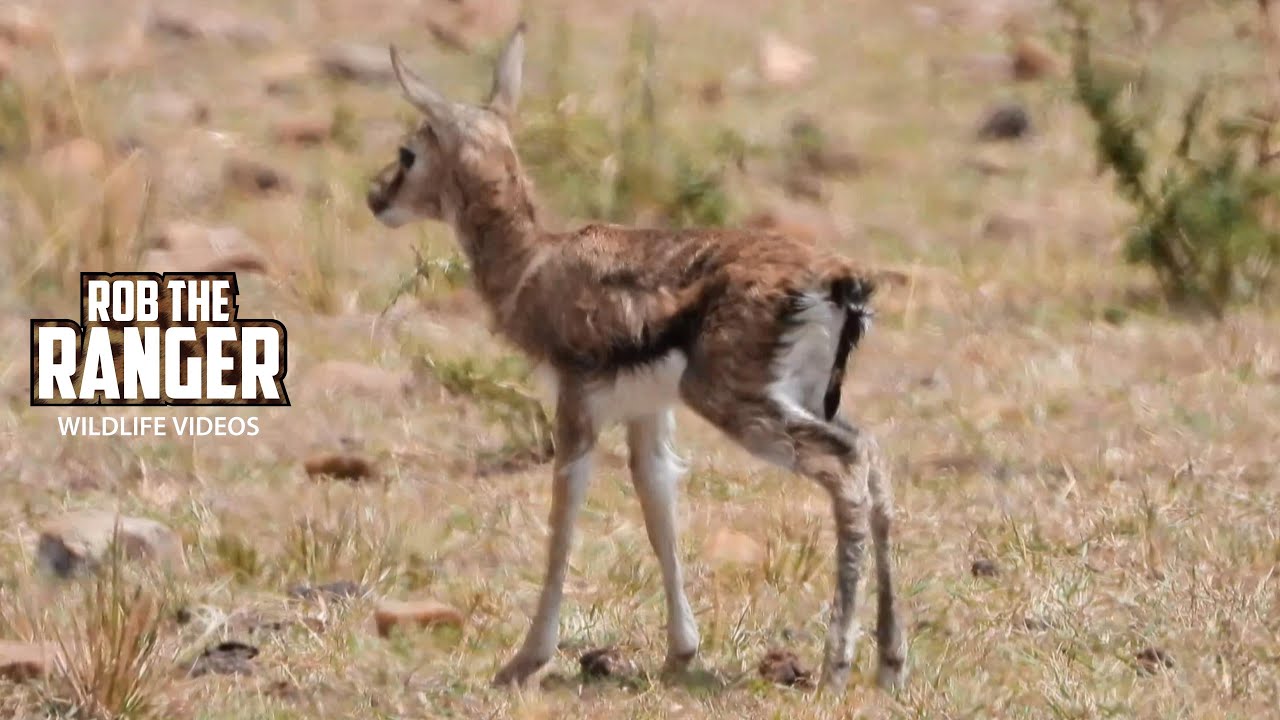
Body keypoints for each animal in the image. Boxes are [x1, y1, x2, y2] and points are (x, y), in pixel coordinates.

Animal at [365, 23, 908, 693]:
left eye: (408, 153)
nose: (375, 196)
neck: (535, 264)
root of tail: (841, 281)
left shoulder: (576, 407)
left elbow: (565, 516)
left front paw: (525, 659)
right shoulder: (649, 413)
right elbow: (658, 505)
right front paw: (681, 651)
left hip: (742, 407)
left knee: (848, 470)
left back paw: (836, 664)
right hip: (806, 401)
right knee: (874, 458)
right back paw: (890, 662)